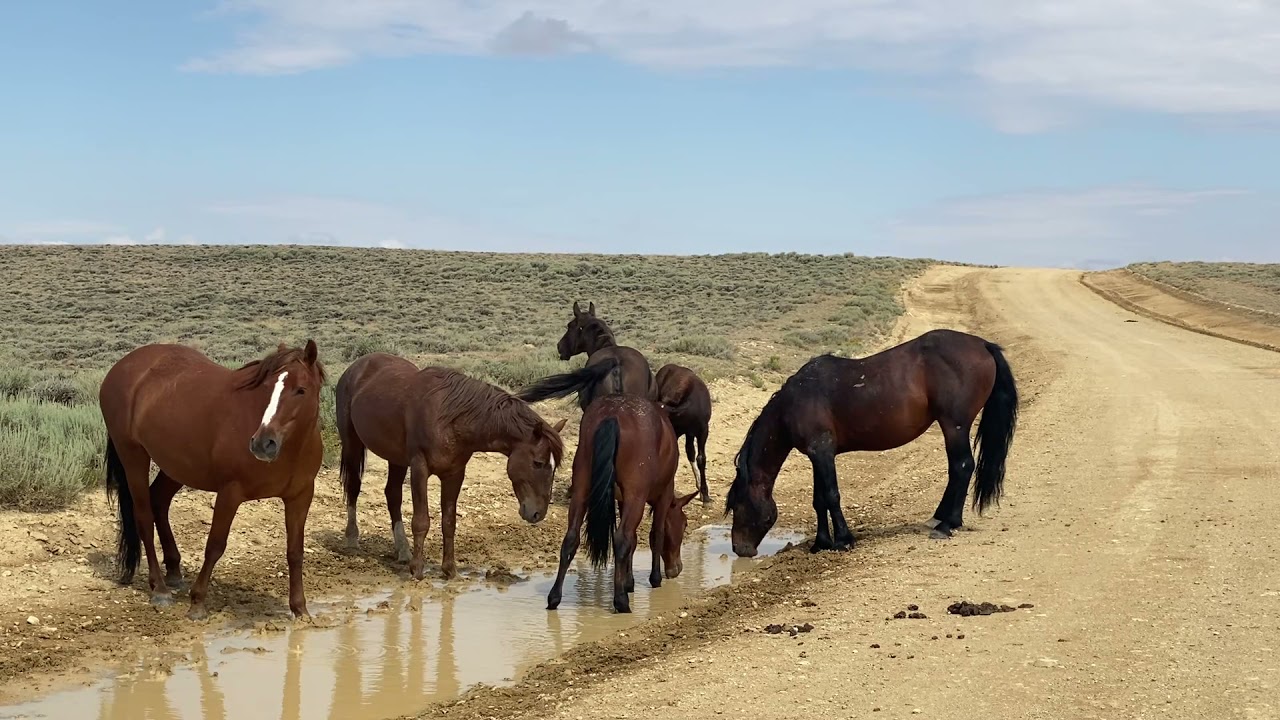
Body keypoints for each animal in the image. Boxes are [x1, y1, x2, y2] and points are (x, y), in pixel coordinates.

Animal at [98, 340, 326, 620]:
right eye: (266, 388)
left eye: (301, 390)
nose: (263, 444)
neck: (290, 451)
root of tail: (122, 367)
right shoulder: (230, 493)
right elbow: (215, 546)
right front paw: (197, 603)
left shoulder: (300, 496)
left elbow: (295, 551)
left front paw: (299, 608)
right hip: (133, 456)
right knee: (143, 516)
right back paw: (160, 589)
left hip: (176, 466)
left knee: (159, 501)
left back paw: (173, 571)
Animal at [335, 352, 567, 580]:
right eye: (538, 463)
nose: (538, 514)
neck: (450, 419)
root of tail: (357, 366)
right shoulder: (419, 468)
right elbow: (421, 521)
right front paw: (417, 570)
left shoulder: (454, 474)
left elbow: (449, 522)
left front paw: (449, 569)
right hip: (352, 442)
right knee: (353, 486)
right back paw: (352, 539)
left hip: (396, 458)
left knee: (392, 494)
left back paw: (403, 550)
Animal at [546, 394, 698, 613]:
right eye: (685, 524)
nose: (676, 569)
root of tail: (613, 415)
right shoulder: (662, 495)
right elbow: (656, 534)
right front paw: (654, 579)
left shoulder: (622, 500)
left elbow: (633, 541)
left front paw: (628, 582)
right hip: (635, 496)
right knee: (621, 539)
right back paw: (621, 601)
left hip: (581, 490)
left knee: (571, 539)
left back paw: (554, 598)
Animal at [654, 363, 713, 504]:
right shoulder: (676, 431)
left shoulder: (703, 430)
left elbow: (701, 458)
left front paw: (705, 493)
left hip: (690, 433)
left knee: (691, 451)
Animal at [724, 328, 1019, 557]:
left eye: (738, 505)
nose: (739, 549)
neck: (794, 402)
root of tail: (982, 344)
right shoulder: (817, 454)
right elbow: (819, 499)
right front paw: (821, 543)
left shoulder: (822, 451)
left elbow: (831, 495)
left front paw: (843, 540)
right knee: (957, 470)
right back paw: (939, 518)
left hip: (954, 426)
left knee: (962, 466)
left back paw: (948, 525)